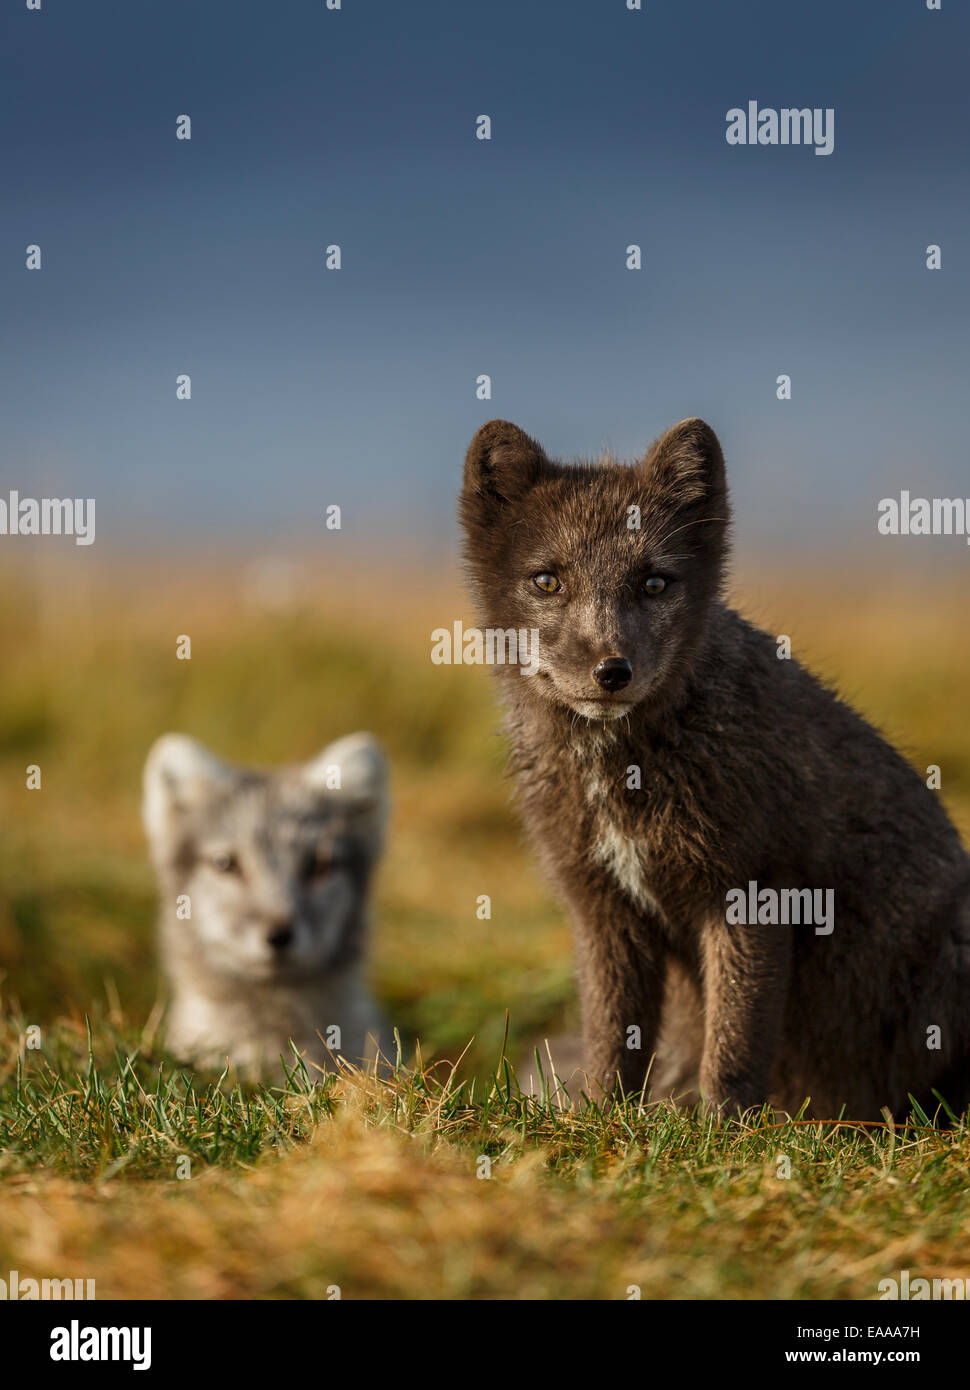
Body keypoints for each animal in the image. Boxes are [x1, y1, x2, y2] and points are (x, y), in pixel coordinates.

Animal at [461, 417, 970, 1120]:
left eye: (654, 583)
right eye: (547, 582)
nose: (612, 671)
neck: (623, 779)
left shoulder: (755, 891)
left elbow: (734, 1043)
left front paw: (726, 1130)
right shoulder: (600, 904)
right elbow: (612, 1037)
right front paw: (601, 1120)